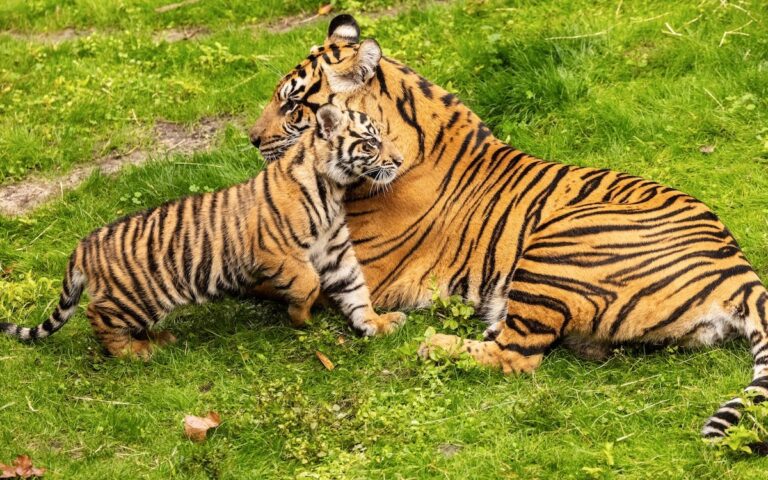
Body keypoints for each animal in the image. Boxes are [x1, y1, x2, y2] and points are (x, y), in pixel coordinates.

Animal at [0, 103, 406, 359]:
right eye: (371, 143)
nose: (400, 160)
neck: (332, 188)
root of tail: (85, 243)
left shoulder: (336, 252)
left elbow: (355, 290)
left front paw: (377, 323)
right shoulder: (276, 251)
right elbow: (308, 284)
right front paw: (300, 316)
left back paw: (159, 339)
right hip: (136, 298)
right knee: (97, 318)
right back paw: (135, 352)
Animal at [247, 14, 768, 443]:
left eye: (293, 105)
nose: (251, 139)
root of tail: (738, 267)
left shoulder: (356, 269)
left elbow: (272, 279)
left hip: (557, 244)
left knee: (517, 357)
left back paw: (434, 345)